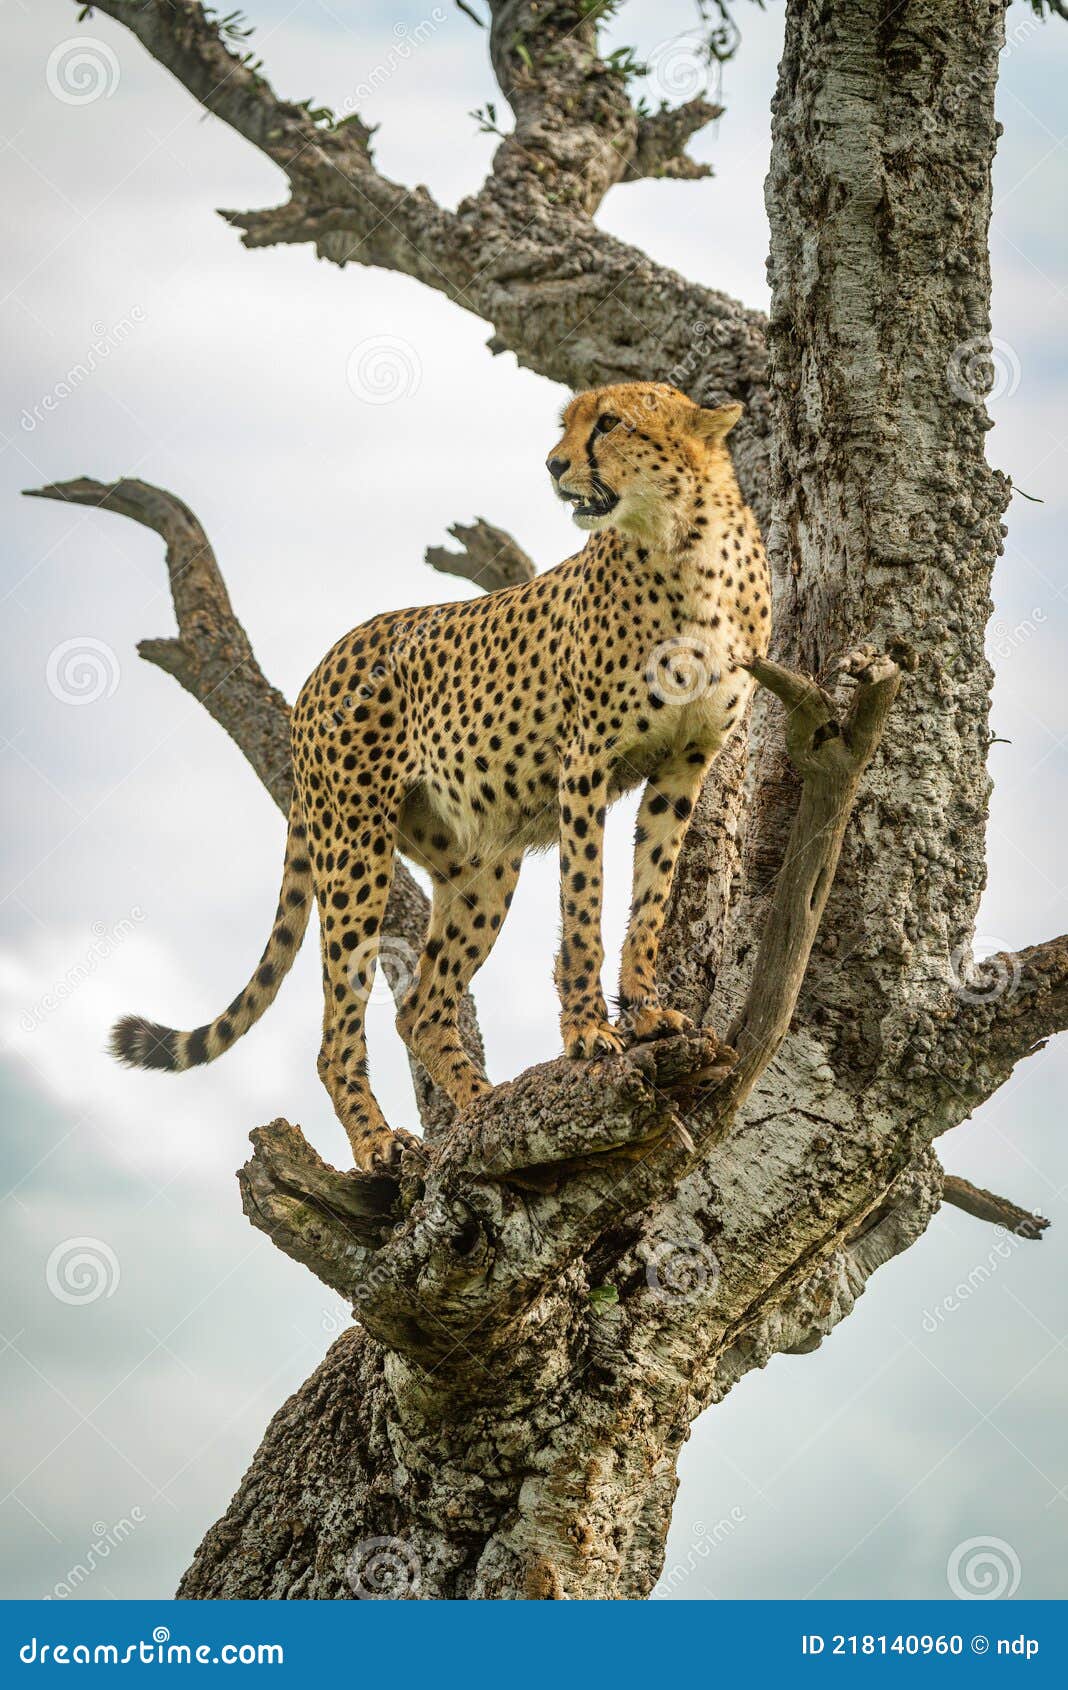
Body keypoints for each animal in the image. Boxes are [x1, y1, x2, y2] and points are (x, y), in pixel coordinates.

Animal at [111, 381, 772, 1173]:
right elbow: (584, 905)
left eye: (610, 423)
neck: (684, 544)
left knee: (421, 1007)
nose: (553, 465)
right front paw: (588, 1033)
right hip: (354, 849)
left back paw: (484, 1104)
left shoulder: (683, 763)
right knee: (341, 1029)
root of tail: (323, 664)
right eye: (567, 423)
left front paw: (645, 1013)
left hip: (481, 864)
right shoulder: (585, 765)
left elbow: (650, 898)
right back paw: (378, 1142)